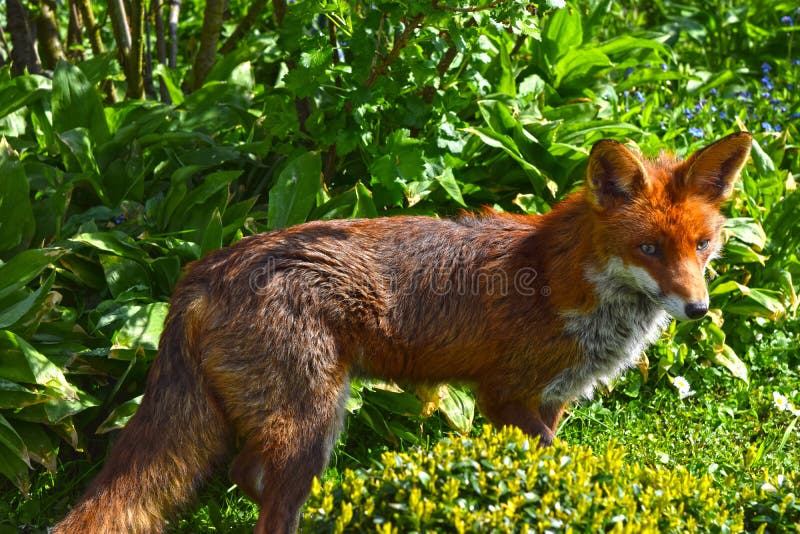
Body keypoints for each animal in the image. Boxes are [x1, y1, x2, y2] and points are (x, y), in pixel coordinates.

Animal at [54, 132, 752, 533]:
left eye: (702, 245)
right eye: (649, 248)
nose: (698, 309)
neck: (568, 285)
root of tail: (202, 268)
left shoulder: (549, 401)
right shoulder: (506, 396)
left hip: (293, 423)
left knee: (247, 474)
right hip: (312, 421)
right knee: (267, 504)